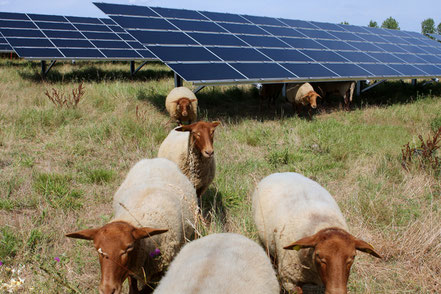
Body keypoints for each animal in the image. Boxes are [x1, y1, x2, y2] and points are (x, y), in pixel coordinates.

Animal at [66, 158, 197, 294]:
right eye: (98, 250)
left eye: (129, 248)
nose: (107, 290)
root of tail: (155, 159)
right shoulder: (131, 270)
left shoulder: (160, 271)